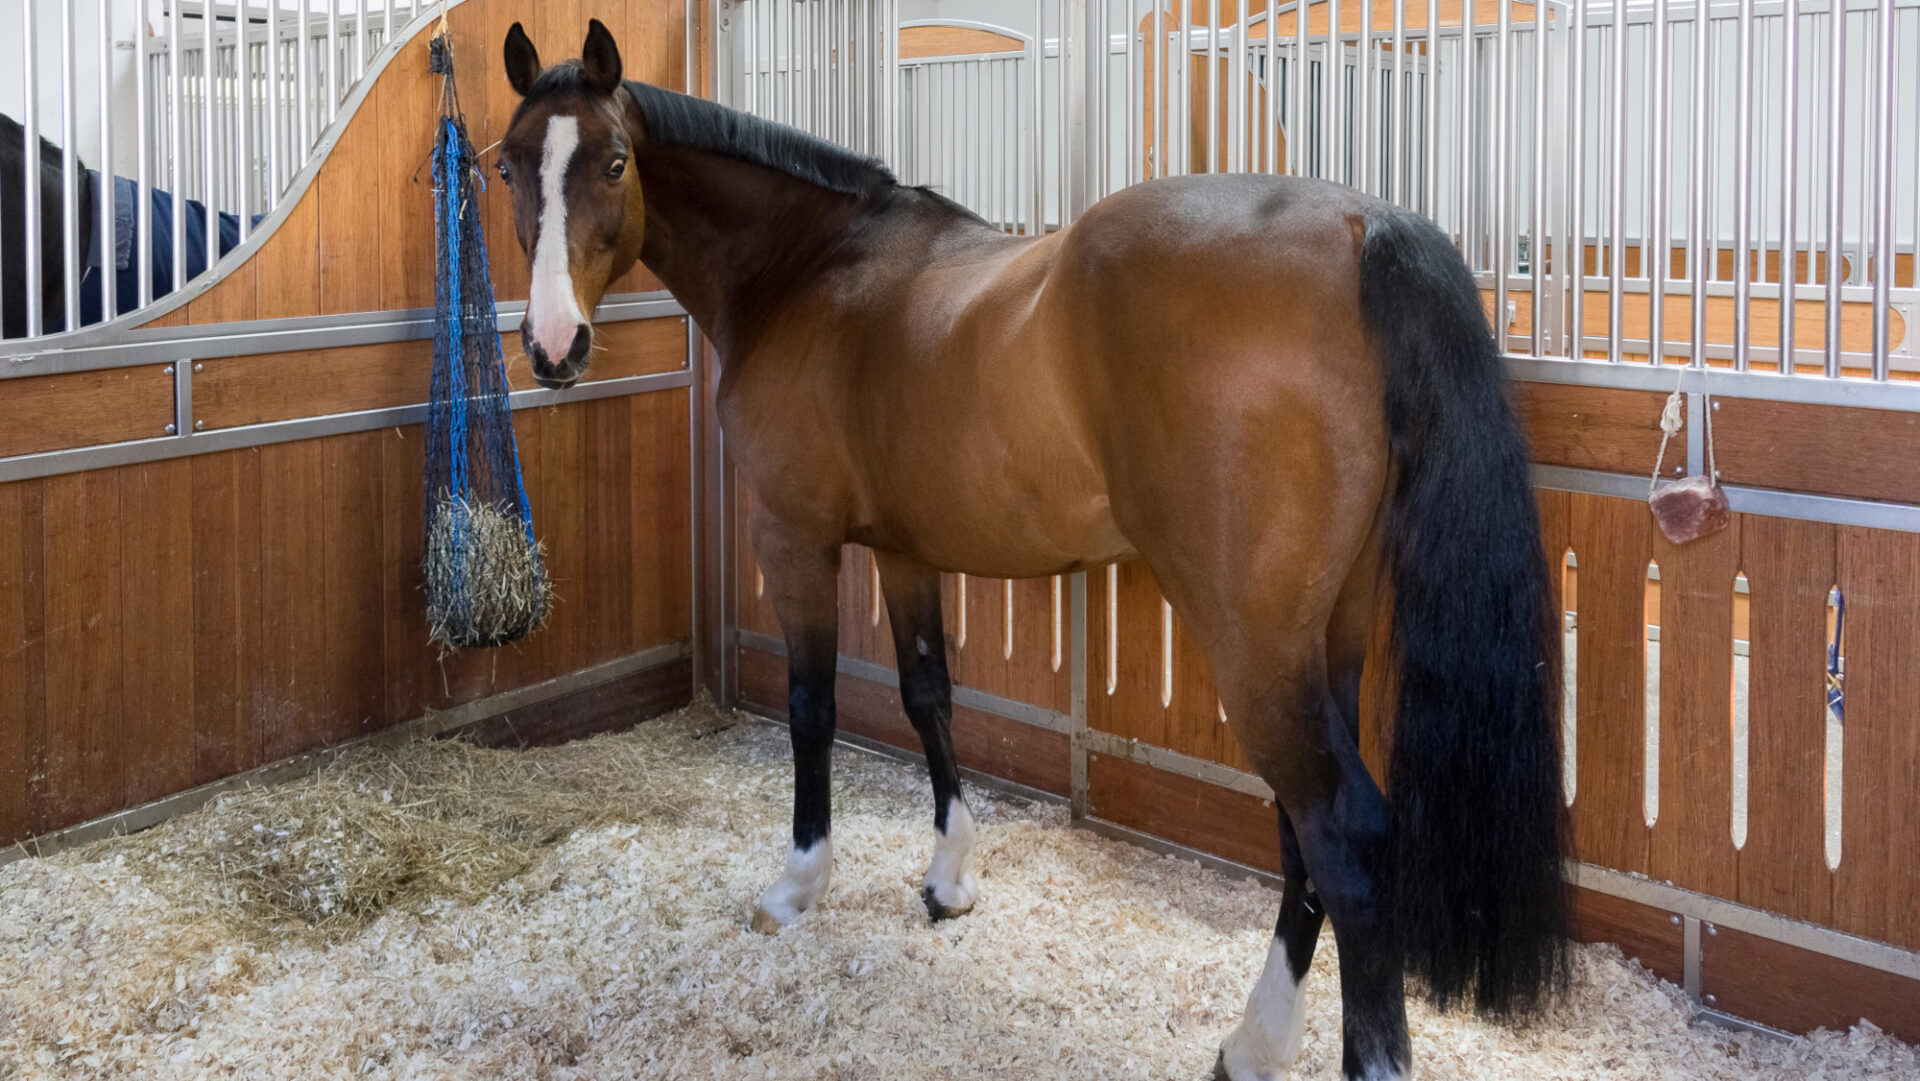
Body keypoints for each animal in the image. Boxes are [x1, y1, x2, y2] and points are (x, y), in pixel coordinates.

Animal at [497, 21, 1569, 1080]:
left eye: (616, 160)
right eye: (504, 164)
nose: (553, 345)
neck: (809, 268)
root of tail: (1361, 227)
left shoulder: (792, 539)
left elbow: (813, 709)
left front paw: (799, 884)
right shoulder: (905, 549)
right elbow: (928, 694)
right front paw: (947, 880)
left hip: (1254, 649)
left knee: (1339, 833)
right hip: (1327, 636)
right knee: (1301, 836)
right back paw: (1256, 1042)